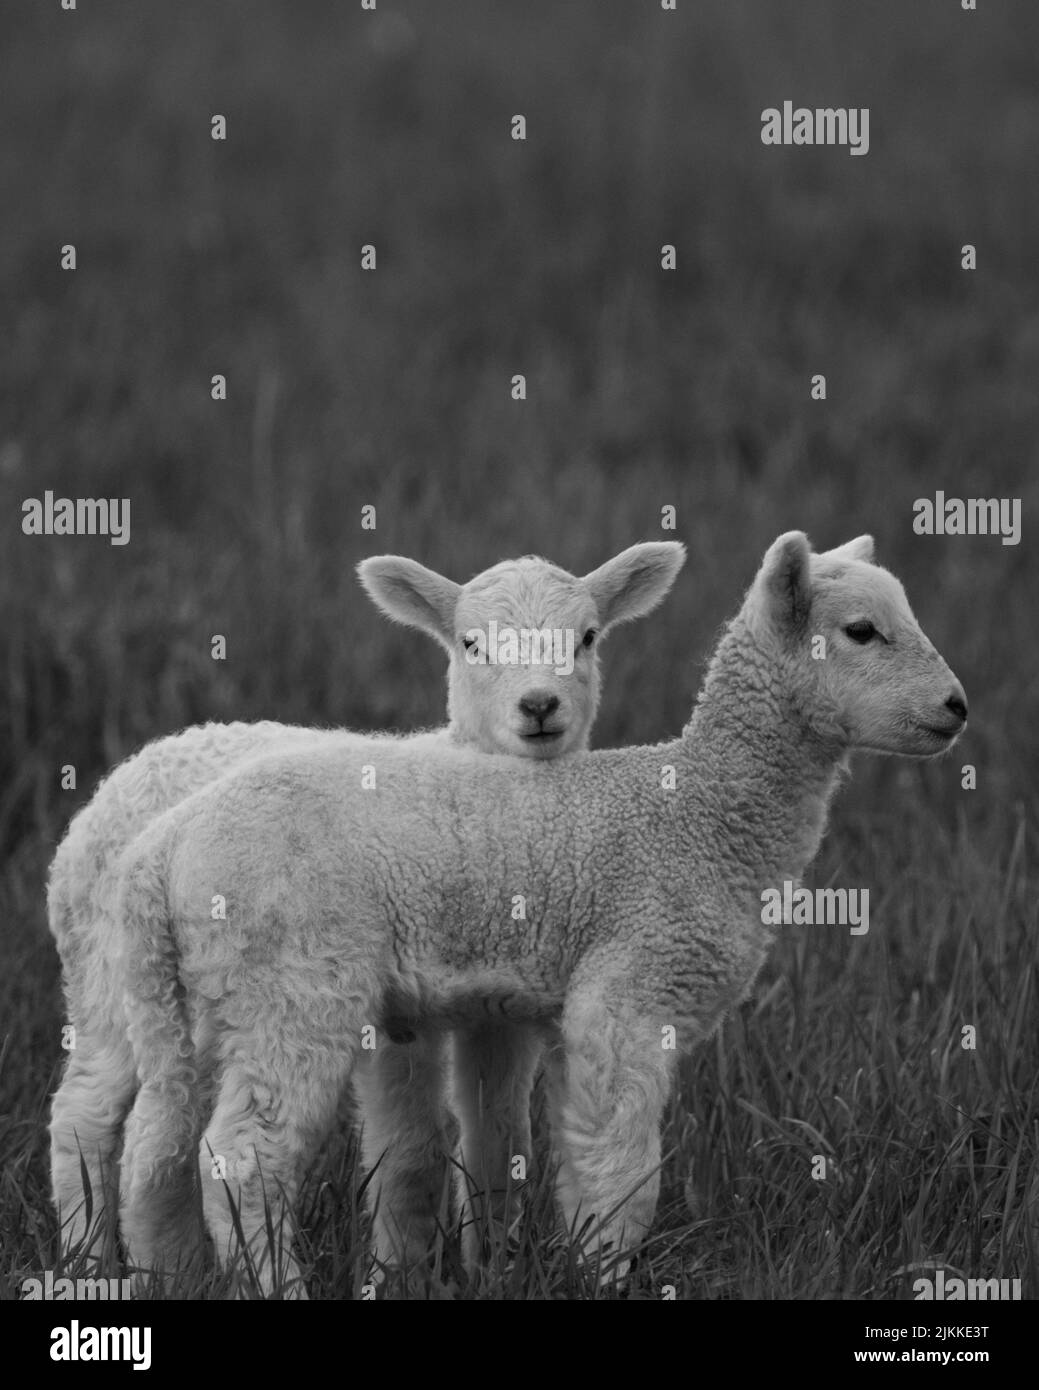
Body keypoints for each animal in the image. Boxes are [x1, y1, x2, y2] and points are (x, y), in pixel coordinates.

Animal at [47, 541, 687, 1270]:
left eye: (586, 638)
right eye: (471, 644)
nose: (540, 704)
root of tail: (137, 763)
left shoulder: (500, 1007)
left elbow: (500, 1145)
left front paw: (490, 1266)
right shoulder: (400, 1010)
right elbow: (412, 1154)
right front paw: (404, 1270)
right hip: (102, 973)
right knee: (84, 1118)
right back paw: (83, 1257)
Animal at [112, 530, 967, 1293]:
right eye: (860, 631)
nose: (956, 707)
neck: (700, 812)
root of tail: (162, 849)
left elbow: (551, 1155)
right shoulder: (627, 995)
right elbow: (621, 1172)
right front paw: (599, 1275)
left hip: (192, 999)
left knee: (150, 1151)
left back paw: (165, 1275)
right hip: (289, 985)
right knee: (242, 1158)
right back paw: (275, 1286)